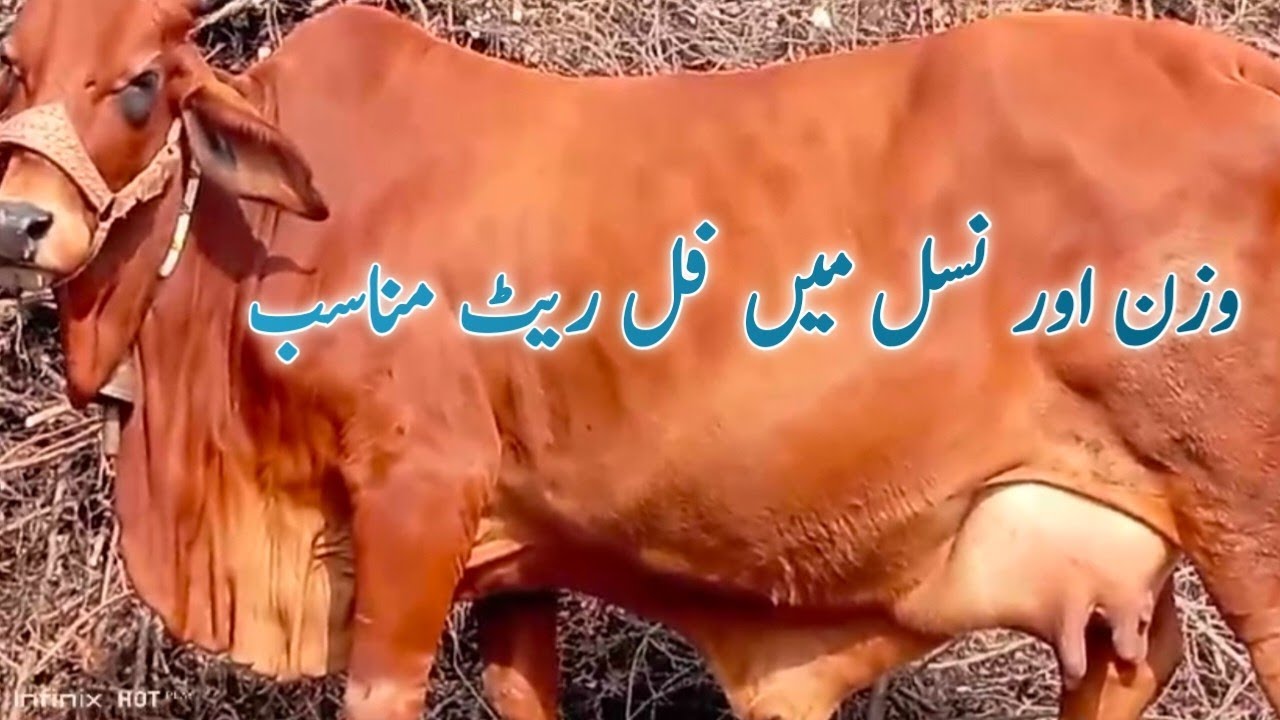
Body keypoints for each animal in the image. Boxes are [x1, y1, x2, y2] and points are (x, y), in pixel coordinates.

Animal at [3, 0, 1280, 718]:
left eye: (139, 82)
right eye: (14, 62)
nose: (21, 220)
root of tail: (1236, 69)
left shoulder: (416, 497)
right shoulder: (513, 554)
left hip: (1243, 520)